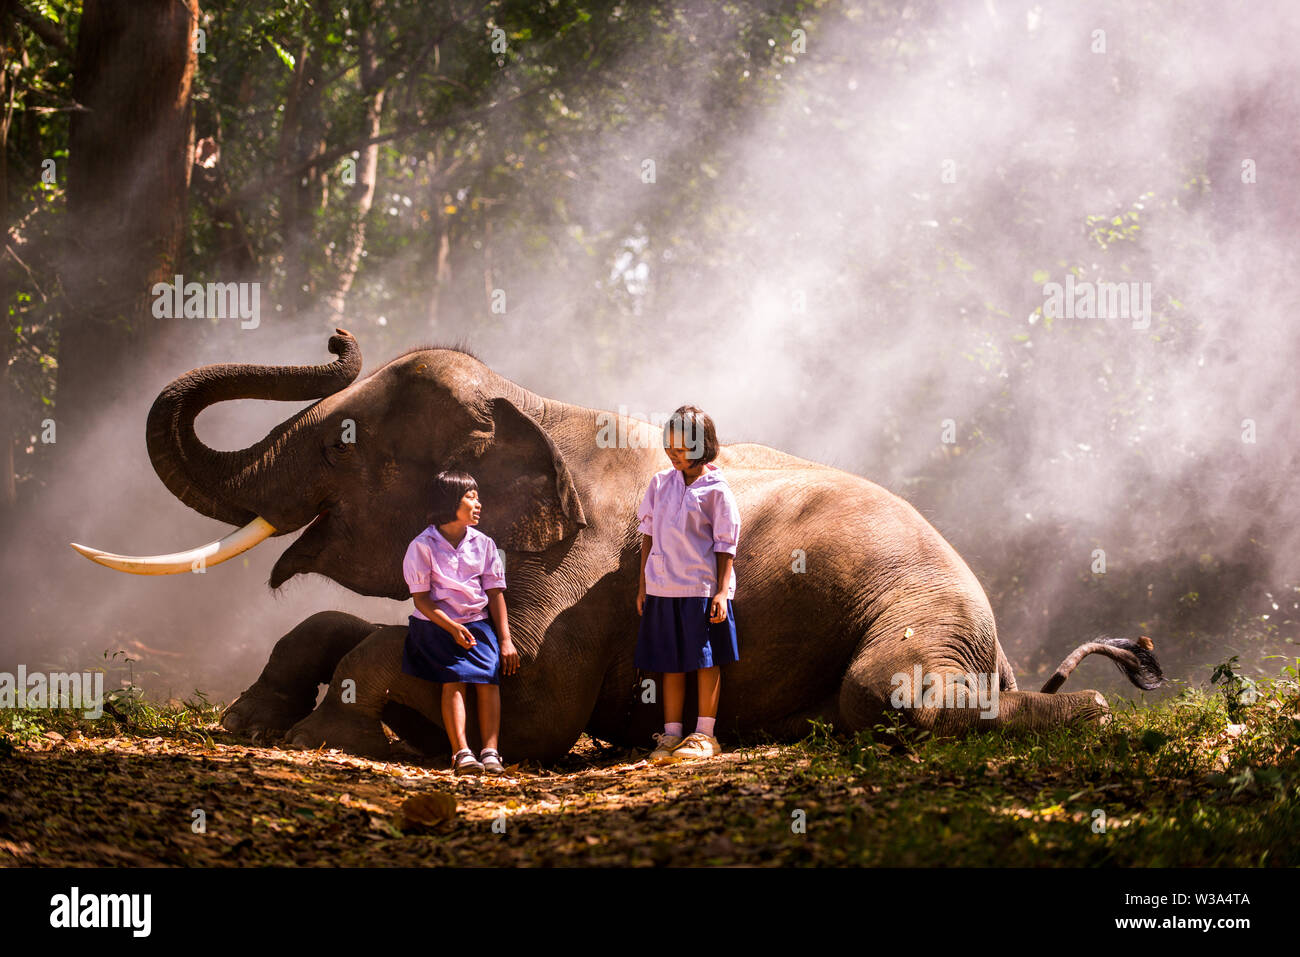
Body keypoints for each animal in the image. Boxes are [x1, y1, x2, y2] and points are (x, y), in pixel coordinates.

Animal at [73, 328, 1163, 762]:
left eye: (344, 441)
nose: (338, 334)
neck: (536, 404)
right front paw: (251, 723)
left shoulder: (586, 581)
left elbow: (532, 702)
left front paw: (327, 738)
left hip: (918, 603)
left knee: (887, 694)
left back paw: (1094, 718)